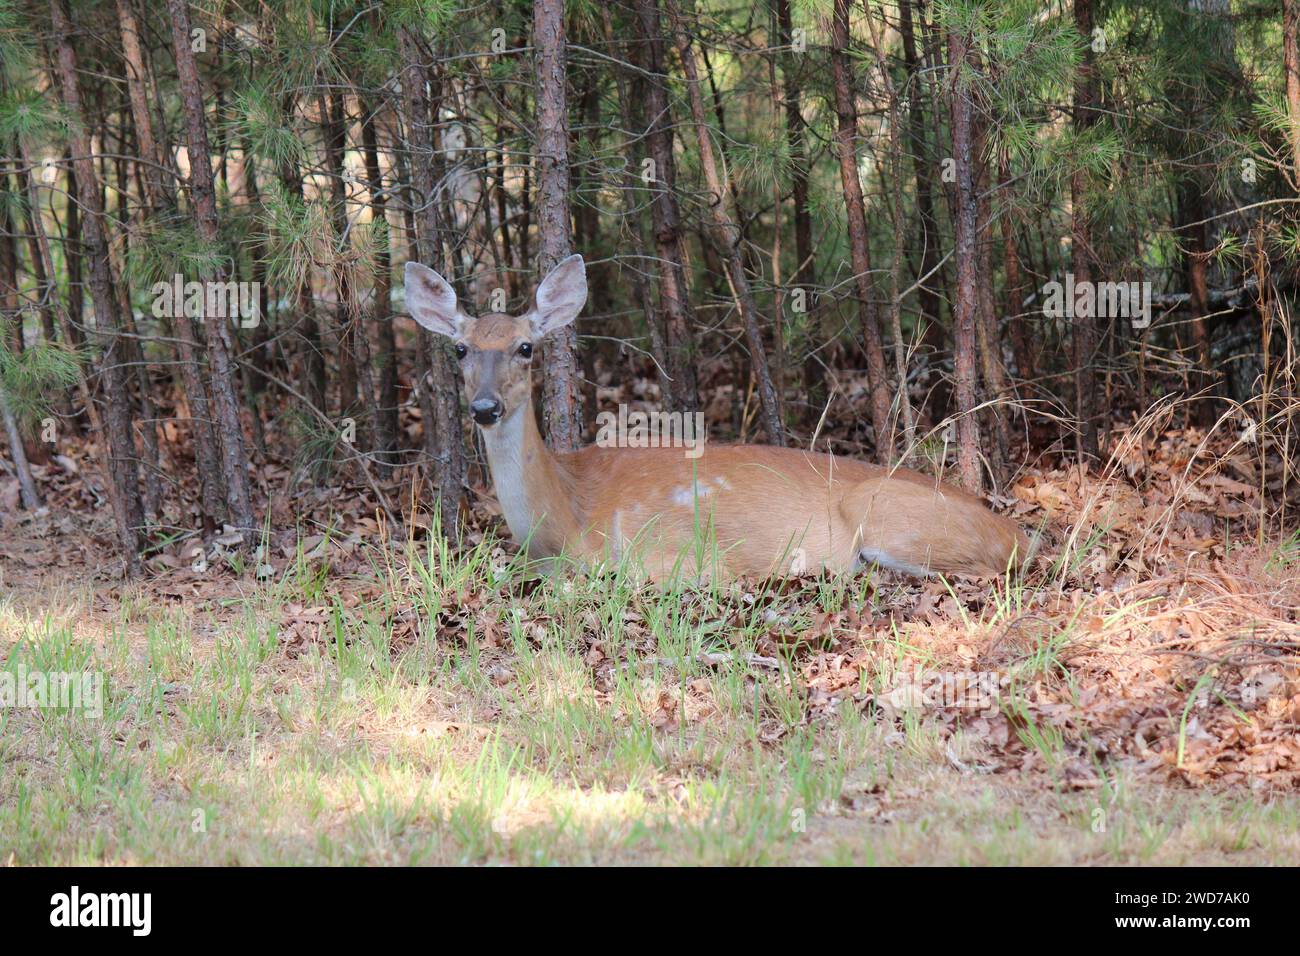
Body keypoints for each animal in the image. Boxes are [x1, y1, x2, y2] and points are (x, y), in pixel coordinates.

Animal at [405, 255, 1030, 583]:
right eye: (460, 349)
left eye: (526, 347)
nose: (485, 408)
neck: (563, 517)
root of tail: (1018, 532)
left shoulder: (660, 556)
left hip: (888, 517)